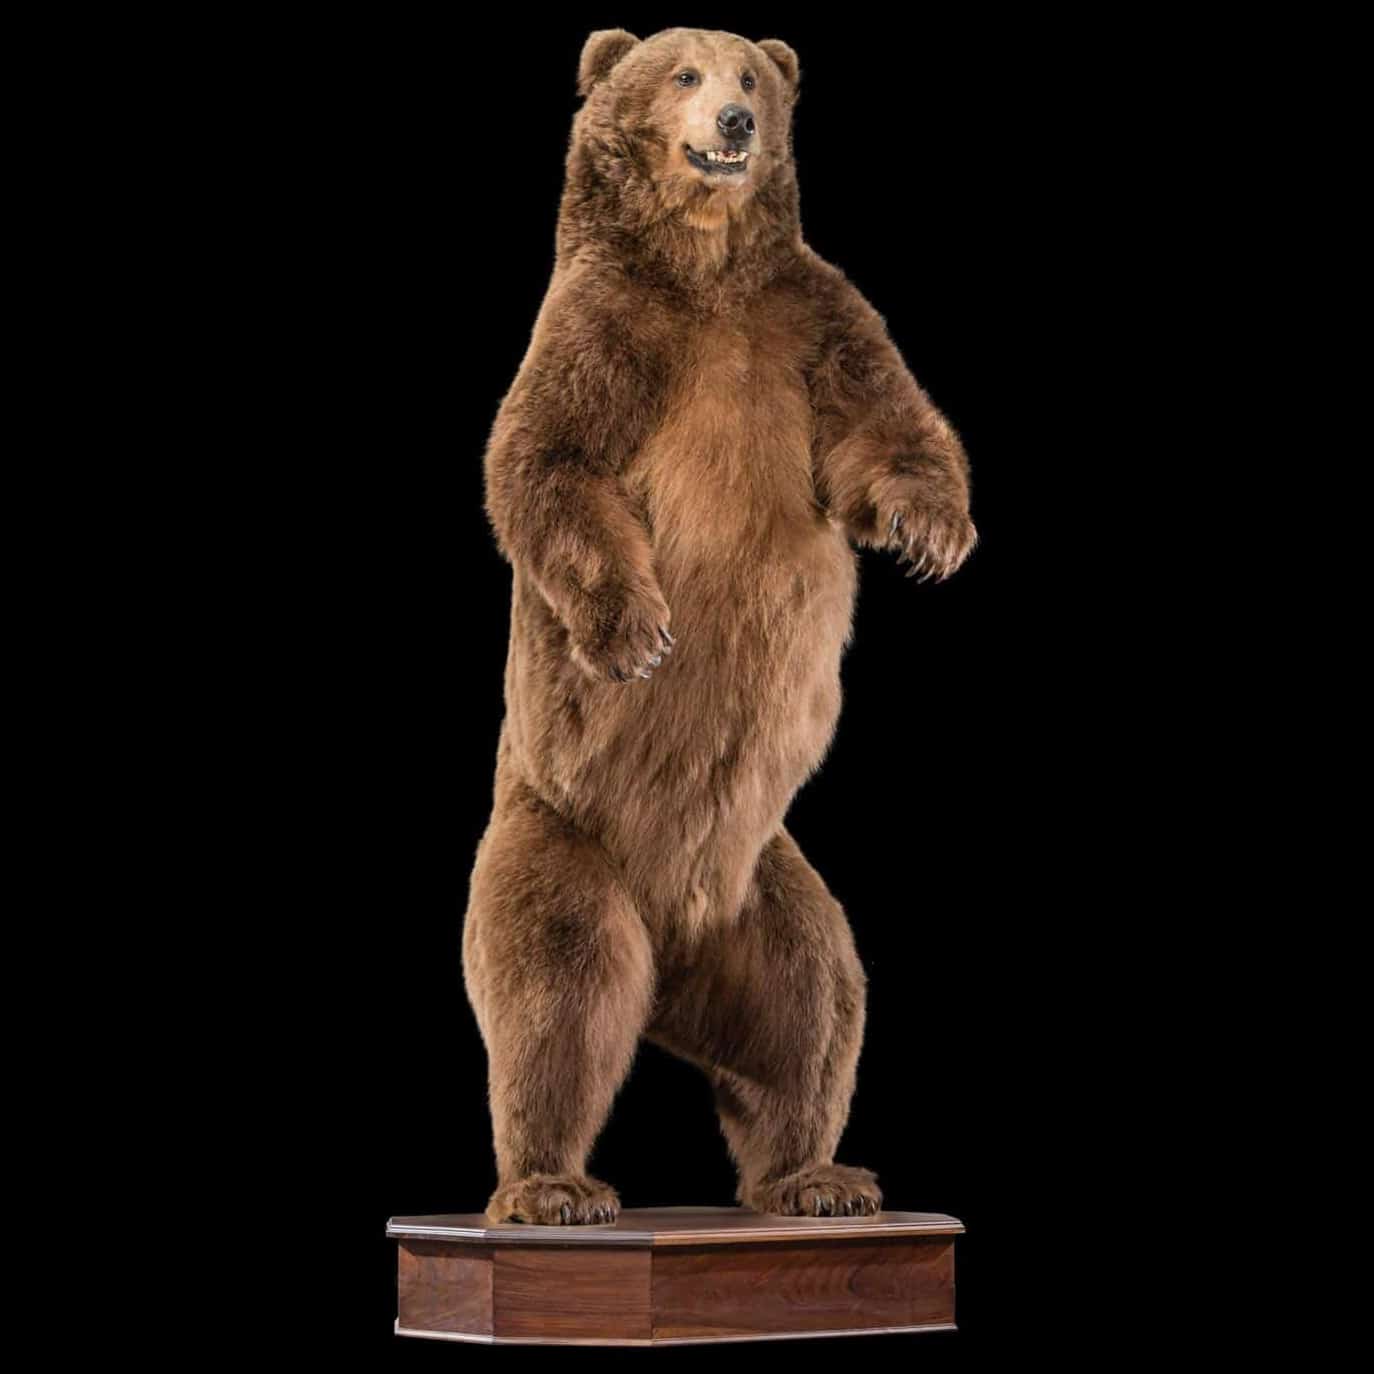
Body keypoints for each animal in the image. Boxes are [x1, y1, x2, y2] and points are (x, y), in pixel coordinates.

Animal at [462, 26, 977, 1225]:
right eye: (683, 74)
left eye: (752, 76)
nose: (736, 123)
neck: (704, 266)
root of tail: (676, 961)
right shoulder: (598, 332)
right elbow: (548, 464)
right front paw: (638, 632)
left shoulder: (807, 323)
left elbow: (887, 422)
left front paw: (933, 532)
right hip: (561, 839)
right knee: (557, 996)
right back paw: (555, 1188)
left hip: (768, 884)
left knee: (815, 1006)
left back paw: (821, 1177)